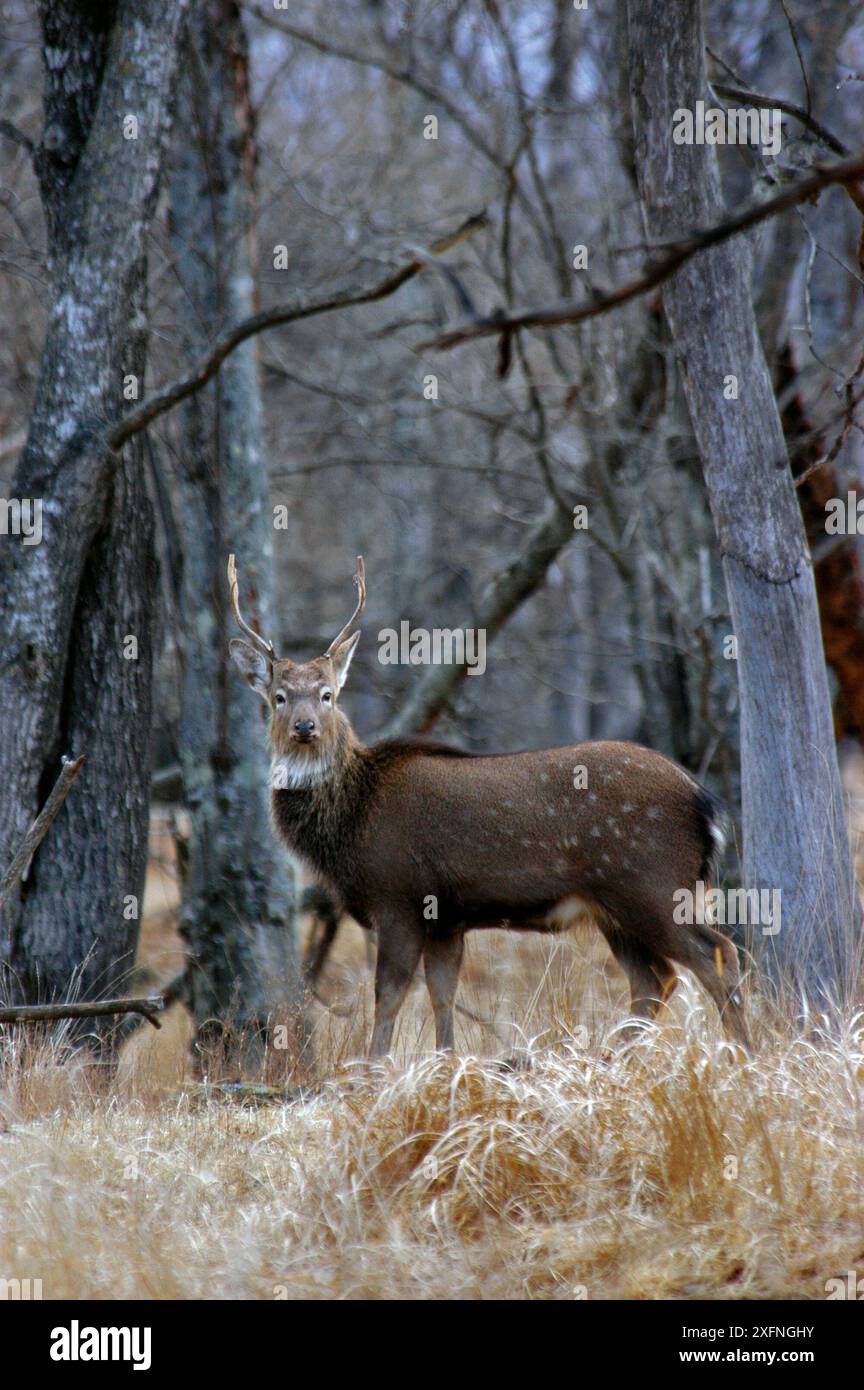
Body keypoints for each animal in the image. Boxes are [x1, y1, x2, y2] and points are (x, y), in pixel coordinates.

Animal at [228, 555, 749, 1058]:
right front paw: (447, 1066)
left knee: (718, 955)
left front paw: (374, 1072)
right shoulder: (445, 919)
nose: (305, 727)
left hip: (652, 883)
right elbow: (442, 994)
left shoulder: (398, 896)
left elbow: (389, 997)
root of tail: (706, 804)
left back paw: (744, 1056)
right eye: (278, 697)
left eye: (327, 694)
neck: (353, 820)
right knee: (656, 979)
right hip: (613, 905)